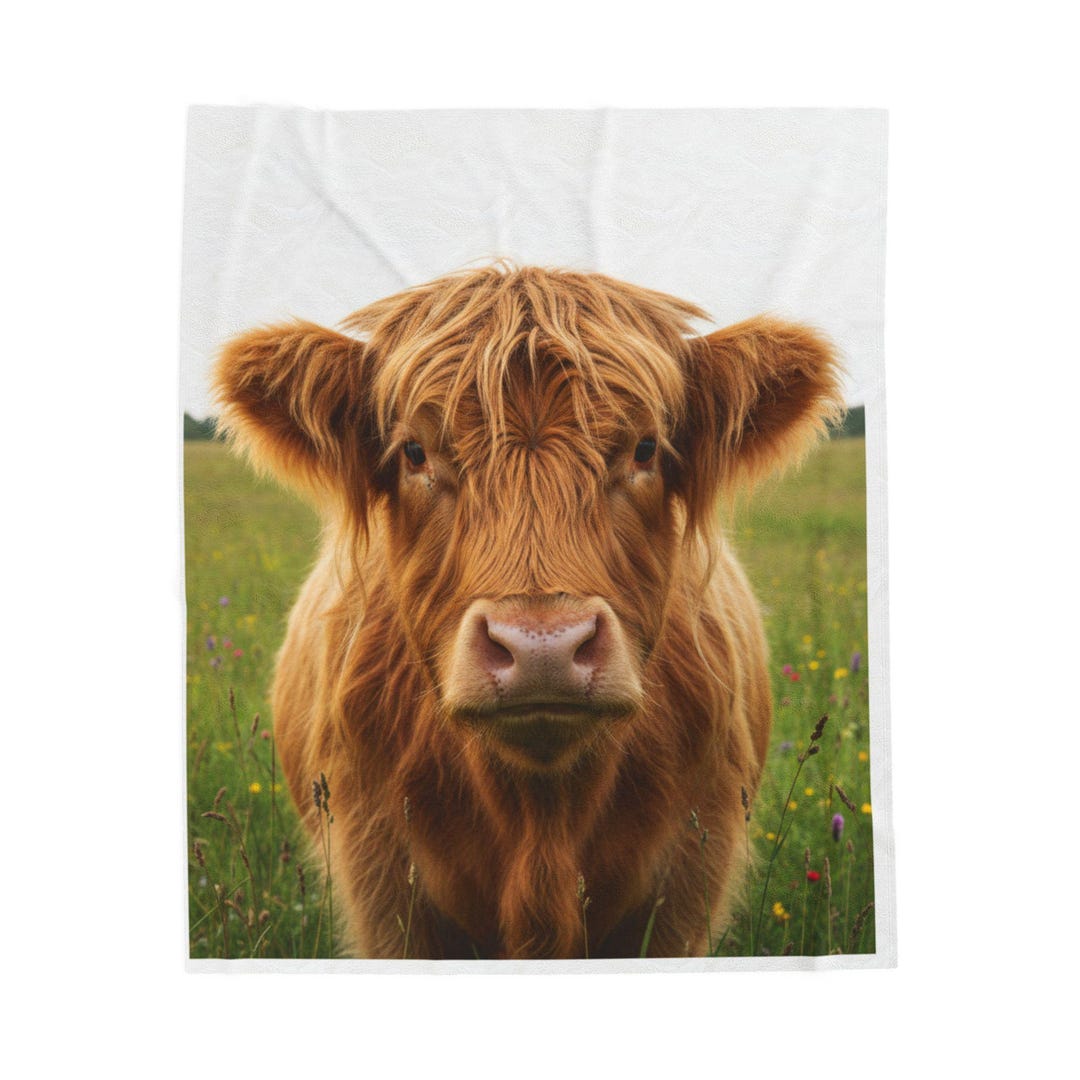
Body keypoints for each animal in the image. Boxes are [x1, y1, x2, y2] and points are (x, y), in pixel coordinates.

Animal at [213, 264, 842, 959]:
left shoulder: (689, 878)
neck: (540, 812)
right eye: (414, 453)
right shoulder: (379, 877)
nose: (544, 648)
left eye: (646, 449)